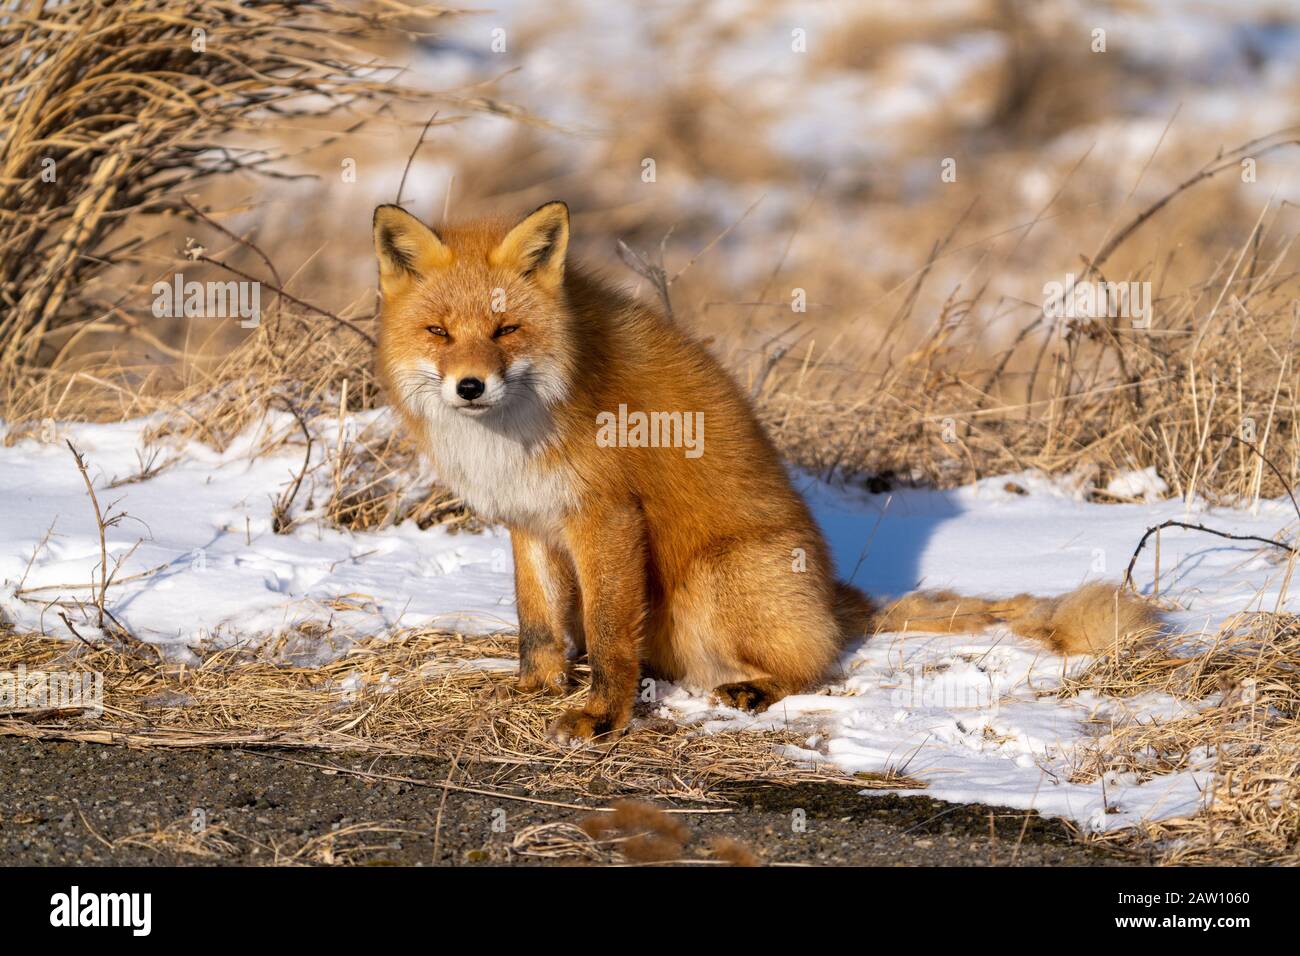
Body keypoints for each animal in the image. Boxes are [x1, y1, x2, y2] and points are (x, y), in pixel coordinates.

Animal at [372, 200, 1161, 742]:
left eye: (506, 330)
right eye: (439, 332)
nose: (470, 386)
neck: (517, 432)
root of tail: (835, 594)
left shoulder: (606, 516)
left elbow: (606, 632)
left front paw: (601, 716)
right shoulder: (531, 522)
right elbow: (538, 626)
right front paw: (537, 689)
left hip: (716, 580)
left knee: (818, 664)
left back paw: (754, 690)